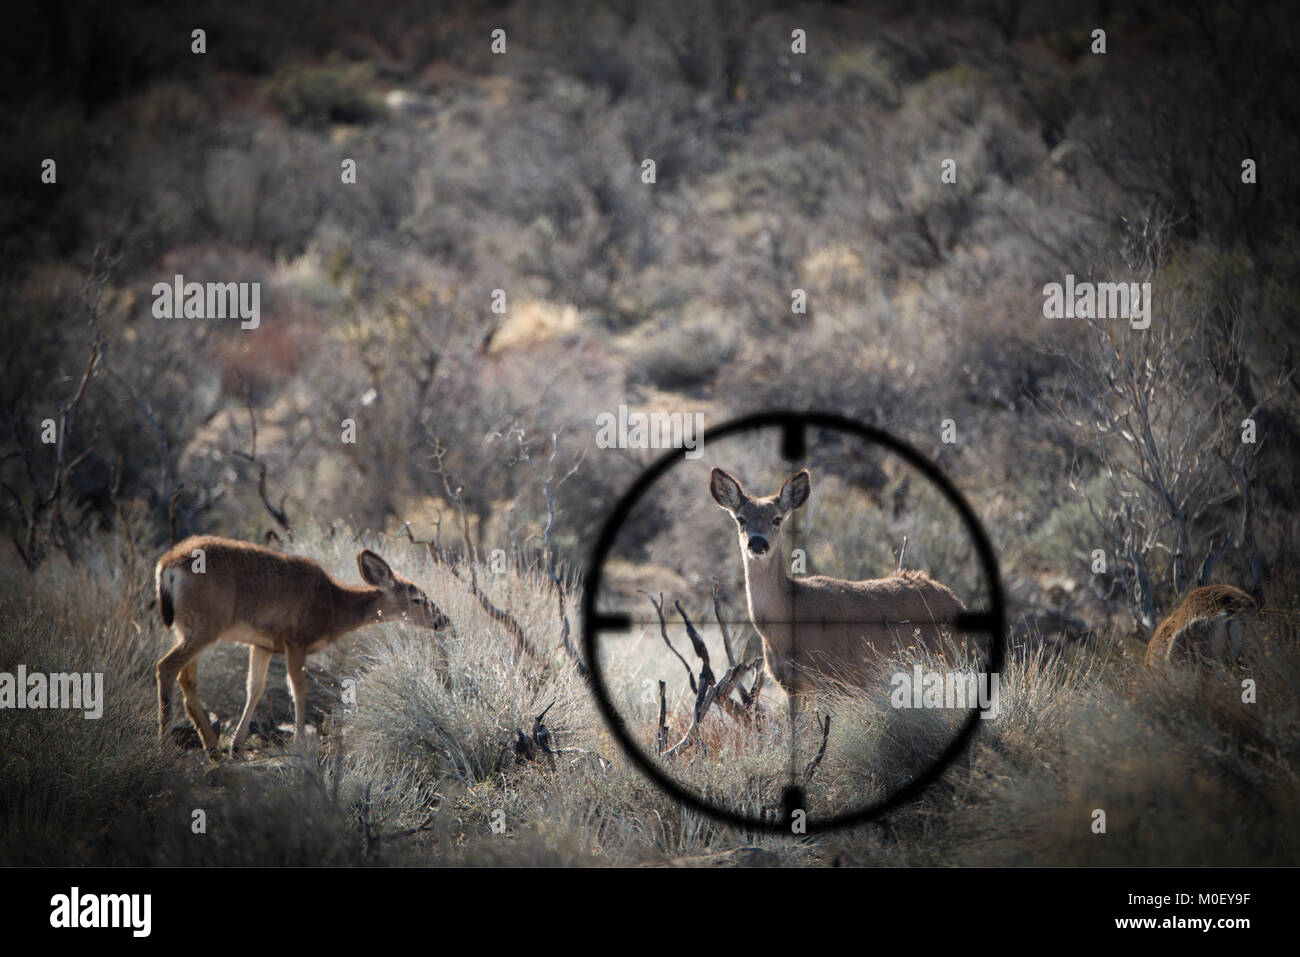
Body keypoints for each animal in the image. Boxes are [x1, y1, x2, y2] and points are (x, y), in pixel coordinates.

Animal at [155, 535, 448, 755]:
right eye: (417, 598)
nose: (442, 619)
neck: (333, 607)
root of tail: (168, 566)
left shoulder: (263, 644)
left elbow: (255, 688)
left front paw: (236, 745)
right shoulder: (297, 639)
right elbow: (298, 689)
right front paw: (300, 742)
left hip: (186, 628)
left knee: (186, 678)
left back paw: (211, 745)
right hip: (206, 625)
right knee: (165, 667)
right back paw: (165, 743)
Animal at [709, 467, 965, 698]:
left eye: (777, 519)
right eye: (741, 519)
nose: (757, 542)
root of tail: (957, 602)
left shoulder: (832, 677)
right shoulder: (792, 686)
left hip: (948, 659)